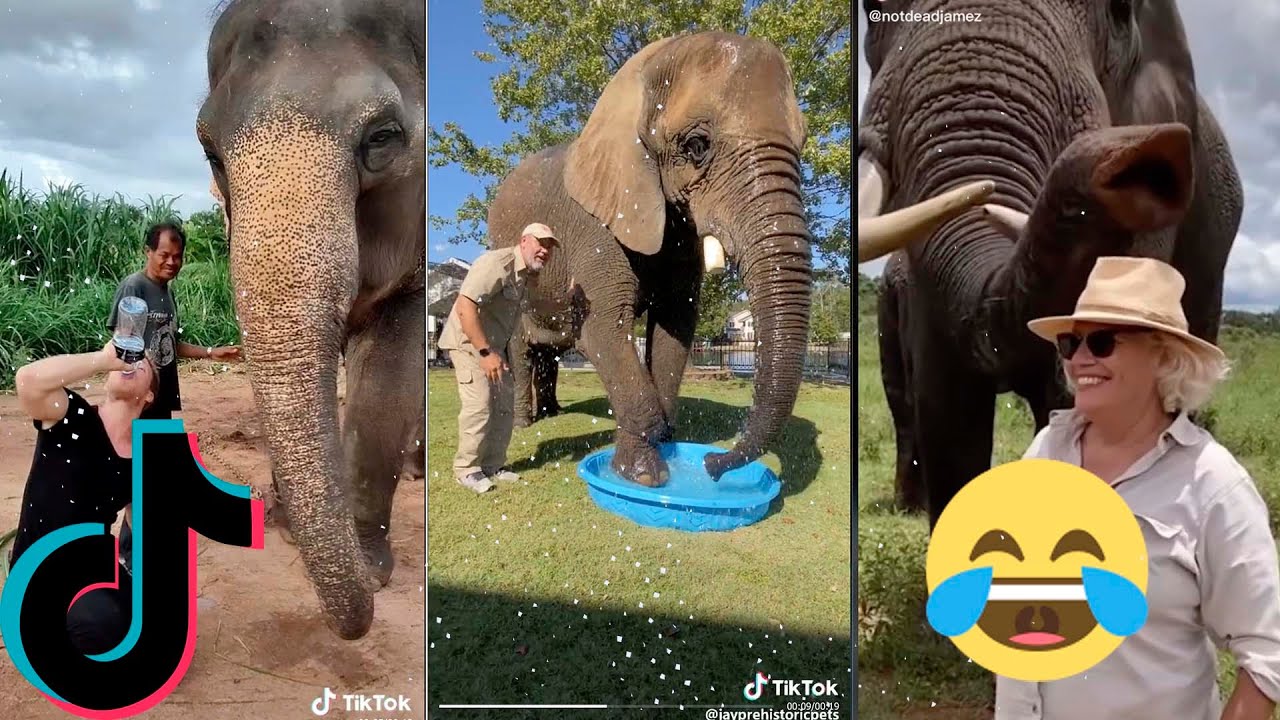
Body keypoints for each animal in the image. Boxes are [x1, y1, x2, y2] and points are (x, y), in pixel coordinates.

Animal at [486, 31, 812, 487]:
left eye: (803, 143)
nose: (713, 464)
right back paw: (525, 424)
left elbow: (674, 329)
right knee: (521, 349)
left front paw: (665, 448)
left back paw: (553, 413)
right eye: (696, 146)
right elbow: (602, 328)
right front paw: (644, 473)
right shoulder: (596, 226)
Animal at [857, 0, 1243, 528]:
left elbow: (1069, 397)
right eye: (876, 11)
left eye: (1120, 11)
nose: (1151, 150)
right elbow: (946, 408)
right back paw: (907, 507)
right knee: (902, 400)